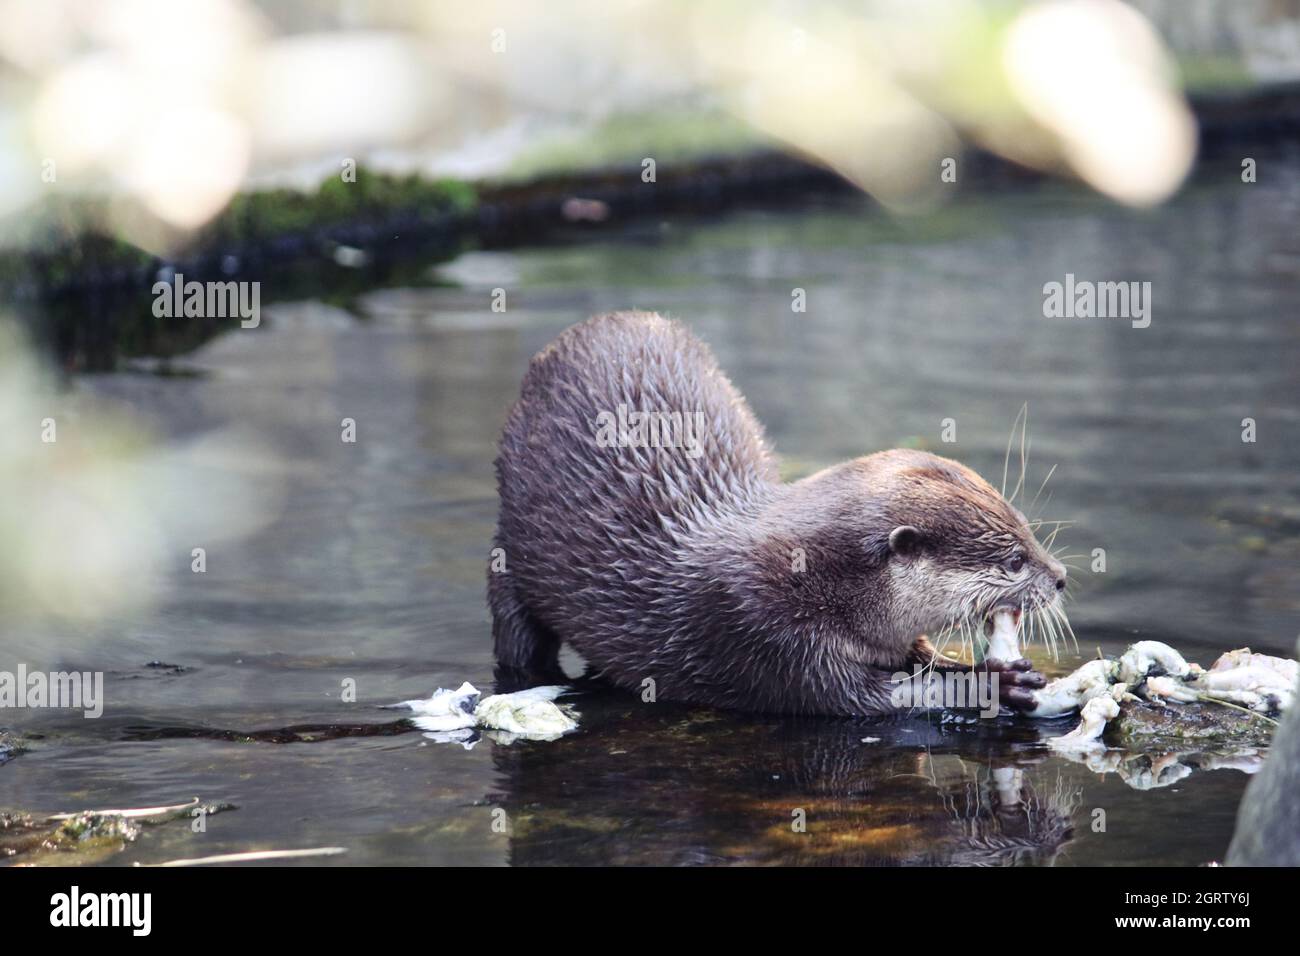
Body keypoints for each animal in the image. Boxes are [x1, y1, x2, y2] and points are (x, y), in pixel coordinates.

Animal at [488, 311, 1065, 716]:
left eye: (1027, 531)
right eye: (1014, 560)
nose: (1060, 577)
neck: (818, 580)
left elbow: (920, 659)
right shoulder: (762, 630)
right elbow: (864, 698)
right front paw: (995, 683)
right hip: (508, 552)